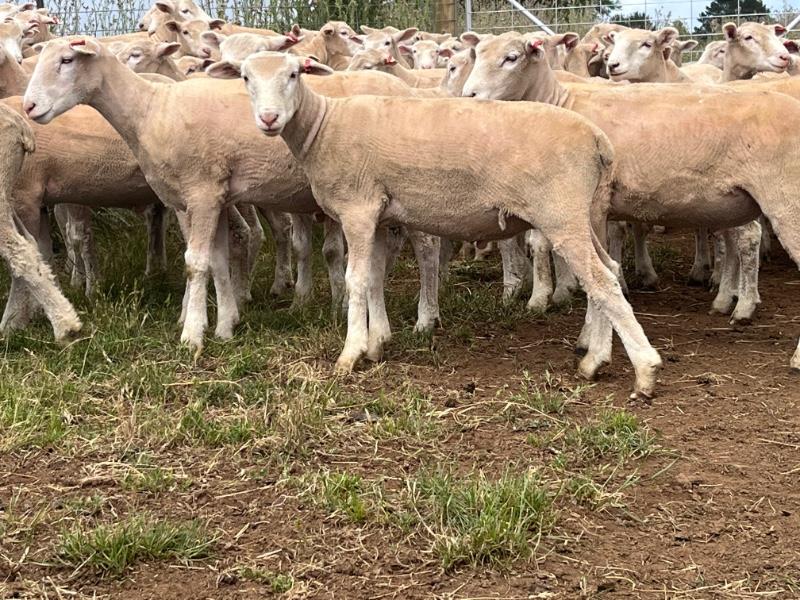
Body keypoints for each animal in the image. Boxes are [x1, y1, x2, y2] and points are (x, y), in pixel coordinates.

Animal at [214, 51, 664, 399]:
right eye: (246, 77)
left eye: (293, 74)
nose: (268, 118)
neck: (323, 126)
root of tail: (598, 140)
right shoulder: (380, 214)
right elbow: (375, 278)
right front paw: (378, 343)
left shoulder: (358, 209)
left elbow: (357, 280)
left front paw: (350, 354)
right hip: (582, 214)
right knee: (609, 271)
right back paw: (594, 360)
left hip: (561, 213)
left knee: (601, 282)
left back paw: (644, 371)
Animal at [462, 33, 800, 371]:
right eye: (476, 53)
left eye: (512, 58)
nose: (469, 95)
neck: (562, 103)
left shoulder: (593, 205)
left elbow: (596, 271)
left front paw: (588, 338)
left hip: (785, 199)